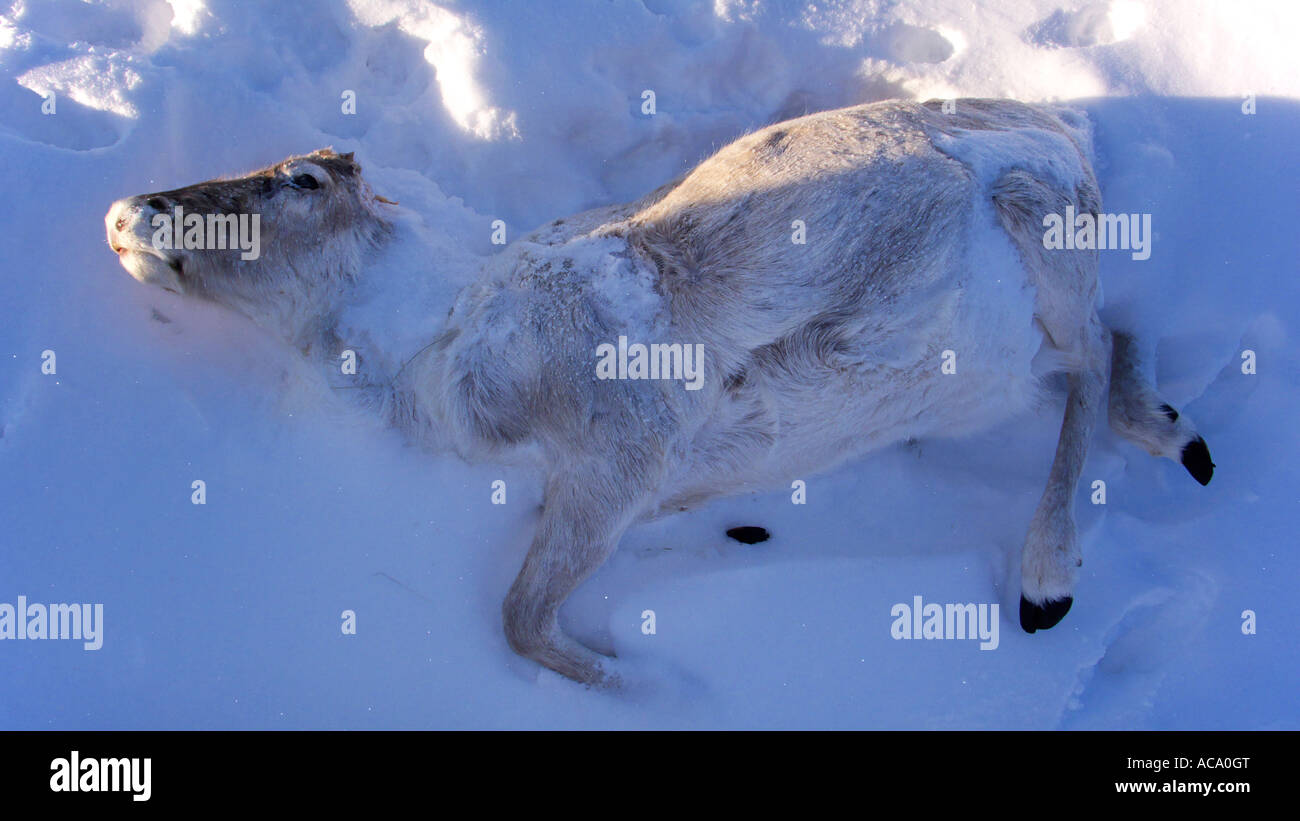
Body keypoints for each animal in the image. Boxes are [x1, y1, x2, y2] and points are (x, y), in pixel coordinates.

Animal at [104, 98, 1214, 688]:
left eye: (301, 182)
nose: (127, 212)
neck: (432, 335)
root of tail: (1067, 135)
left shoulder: (614, 471)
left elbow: (517, 615)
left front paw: (650, 678)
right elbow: (520, 612)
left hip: (1034, 214)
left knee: (1091, 357)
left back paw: (1049, 584)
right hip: (994, 372)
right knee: (1107, 347)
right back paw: (1176, 437)